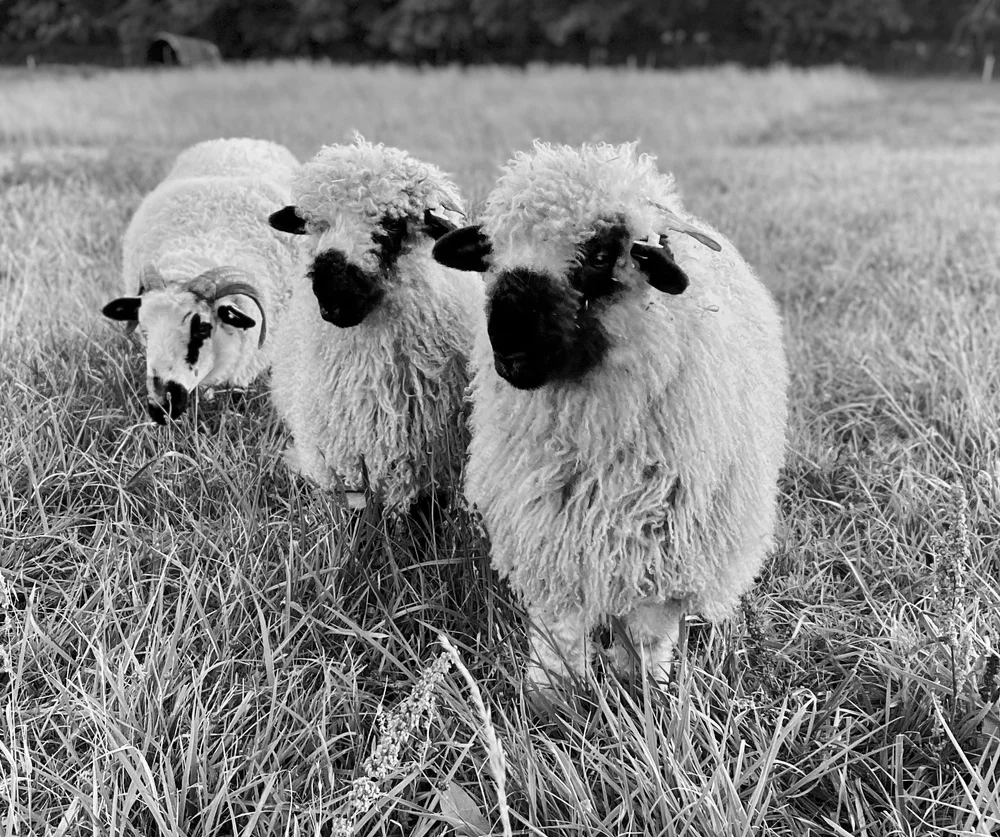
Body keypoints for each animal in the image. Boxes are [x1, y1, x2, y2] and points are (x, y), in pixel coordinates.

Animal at [432, 141, 788, 687]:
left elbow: (647, 635)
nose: (508, 342)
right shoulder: (549, 528)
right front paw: (550, 694)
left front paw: (642, 690)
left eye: (600, 256)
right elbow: (559, 632)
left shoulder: (667, 545)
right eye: (491, 251)